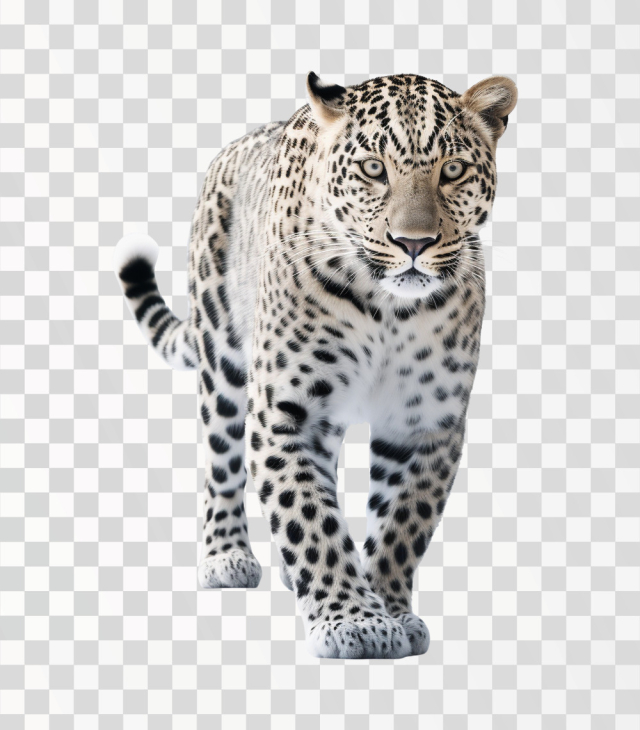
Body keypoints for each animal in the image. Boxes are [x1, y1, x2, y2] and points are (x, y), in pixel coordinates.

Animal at [114, 72, 517, 659]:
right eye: (373, 169)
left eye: (453, 170)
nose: (413, 243)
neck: (389, 308)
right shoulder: (285, 413)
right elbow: (309, 517)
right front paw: (354, 620)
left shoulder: (425, 422)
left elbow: (401, 524)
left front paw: (391, 607)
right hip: (221, 356)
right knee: (220, 462)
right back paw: (226, 556)